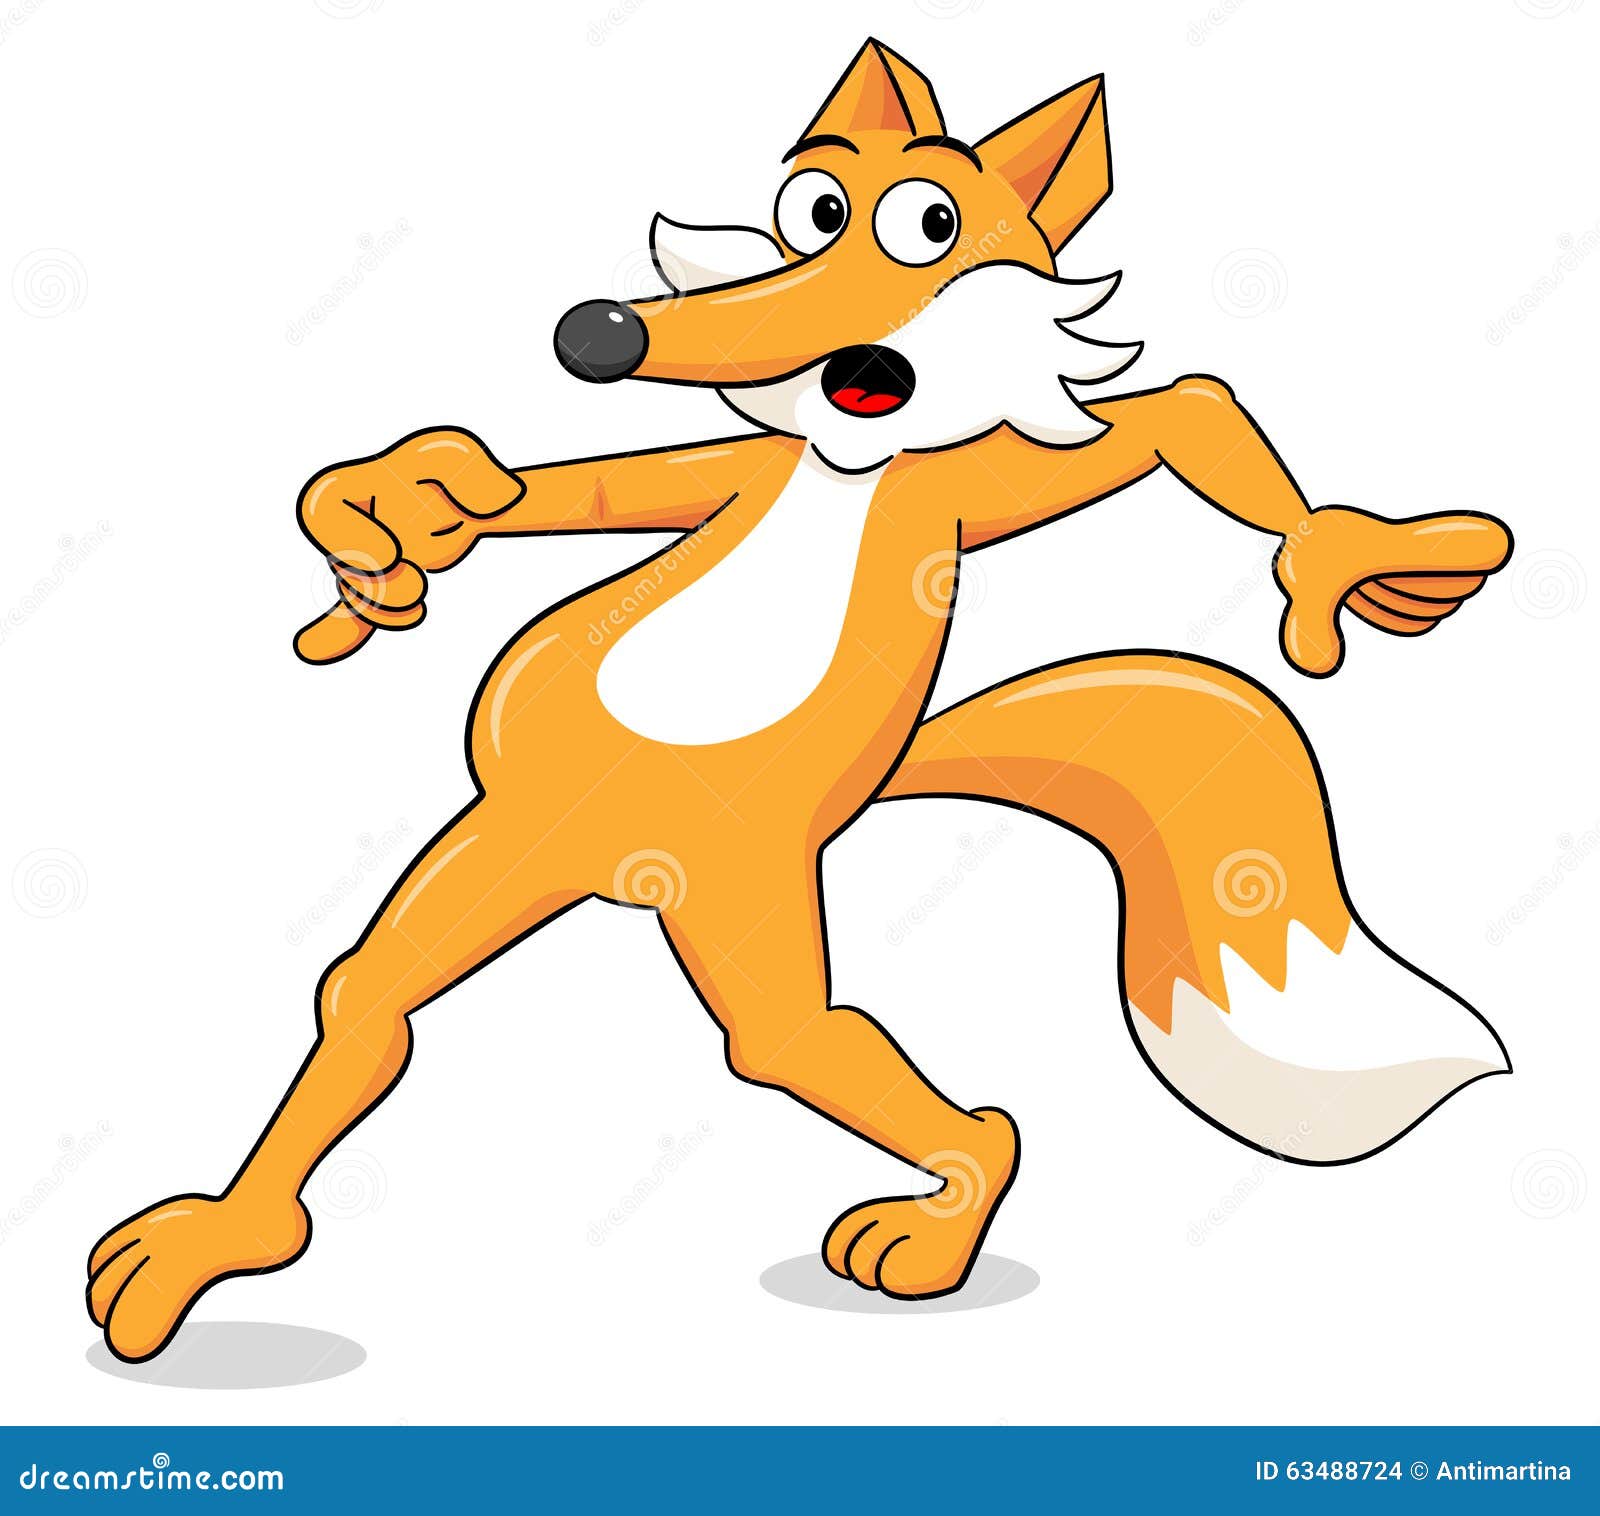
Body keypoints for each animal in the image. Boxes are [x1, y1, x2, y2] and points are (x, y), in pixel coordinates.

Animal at [88, 39, 1514, 1361]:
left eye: (928, 225)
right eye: (814, 211)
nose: (602, 332)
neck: (843, 467)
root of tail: (618, 868)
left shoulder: (966, 492)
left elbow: (1179, 408)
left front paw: (1340, 561)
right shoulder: (734, 470)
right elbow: (572, 491)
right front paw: (395, 508)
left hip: (737, 896)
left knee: (805, 1044)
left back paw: (943, 1218)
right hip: (521, 839)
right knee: (367, 1002)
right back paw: (213, 1245)